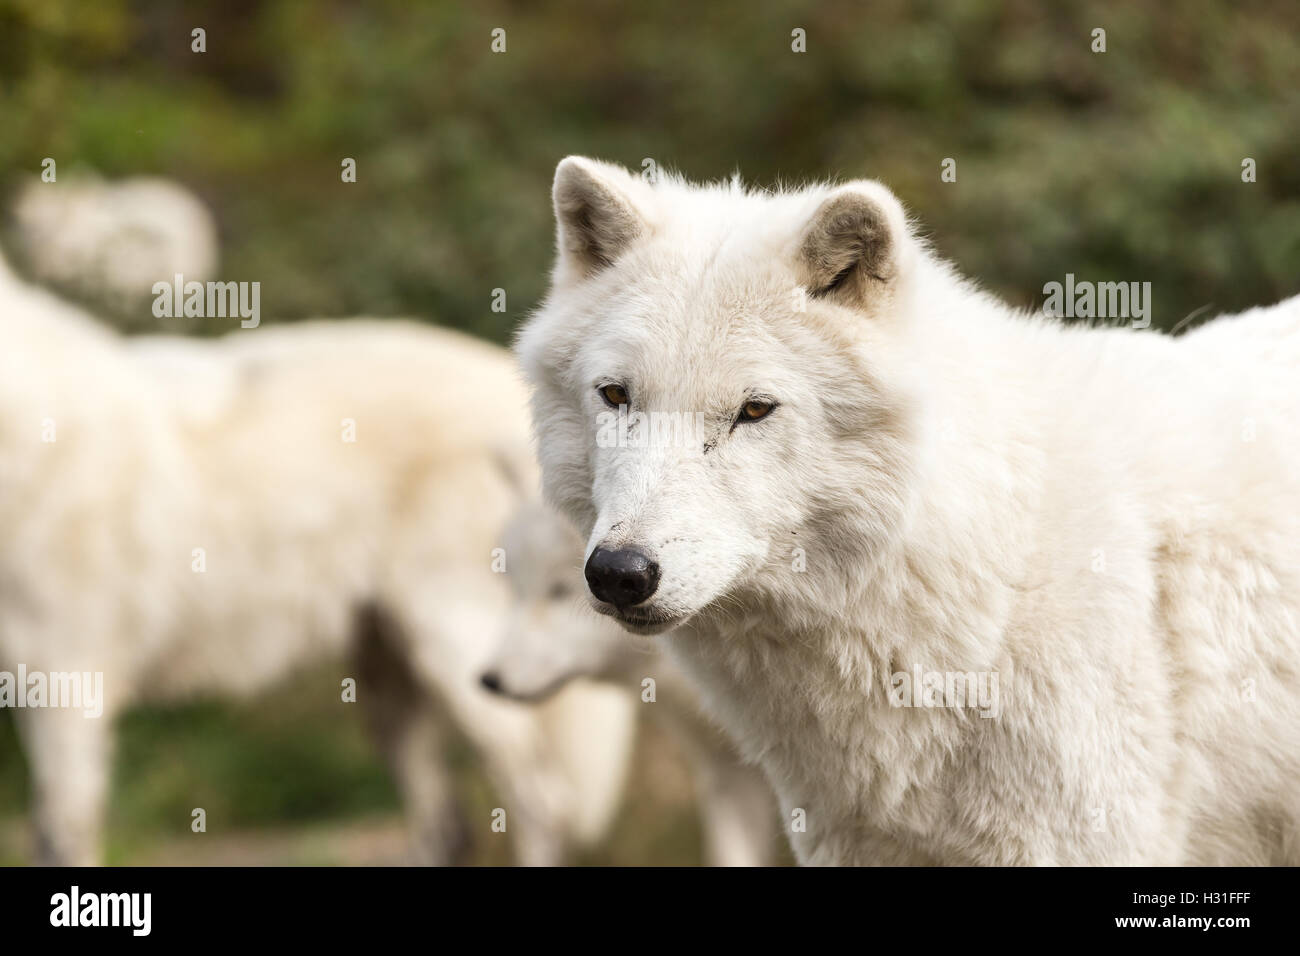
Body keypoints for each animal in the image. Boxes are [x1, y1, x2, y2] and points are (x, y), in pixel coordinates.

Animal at [0, 249, 634, 866]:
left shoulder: (70, 690)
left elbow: (64, 839)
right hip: (386, 687)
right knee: (450, 830)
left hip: (463, 665)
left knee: (542, 804)